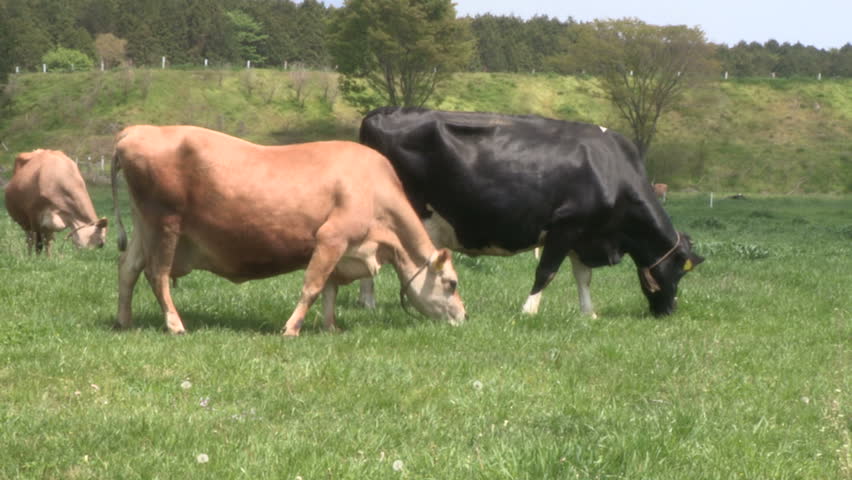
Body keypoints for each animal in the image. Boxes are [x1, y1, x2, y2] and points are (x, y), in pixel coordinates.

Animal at [111, 125, 466, 336]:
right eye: (451, 283)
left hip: (144, 226)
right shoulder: (332, 237)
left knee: (127, 268)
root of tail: (136, 130)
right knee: (156, 274)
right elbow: (313, 286)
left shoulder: (342, 250)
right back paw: (174, 324)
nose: (463, 315)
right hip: (165, 224)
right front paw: (292, 328)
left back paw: (124, 321)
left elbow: (330, 291)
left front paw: (330, 327)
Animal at [358, 107, 703, 318]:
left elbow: (583, 277)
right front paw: (528, 310)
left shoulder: (584, 234)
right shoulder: (566, 226)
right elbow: (546, 272)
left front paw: (588, 313)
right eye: (680, 270)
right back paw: (369, 302)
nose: (668, 311)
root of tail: (380, 113)